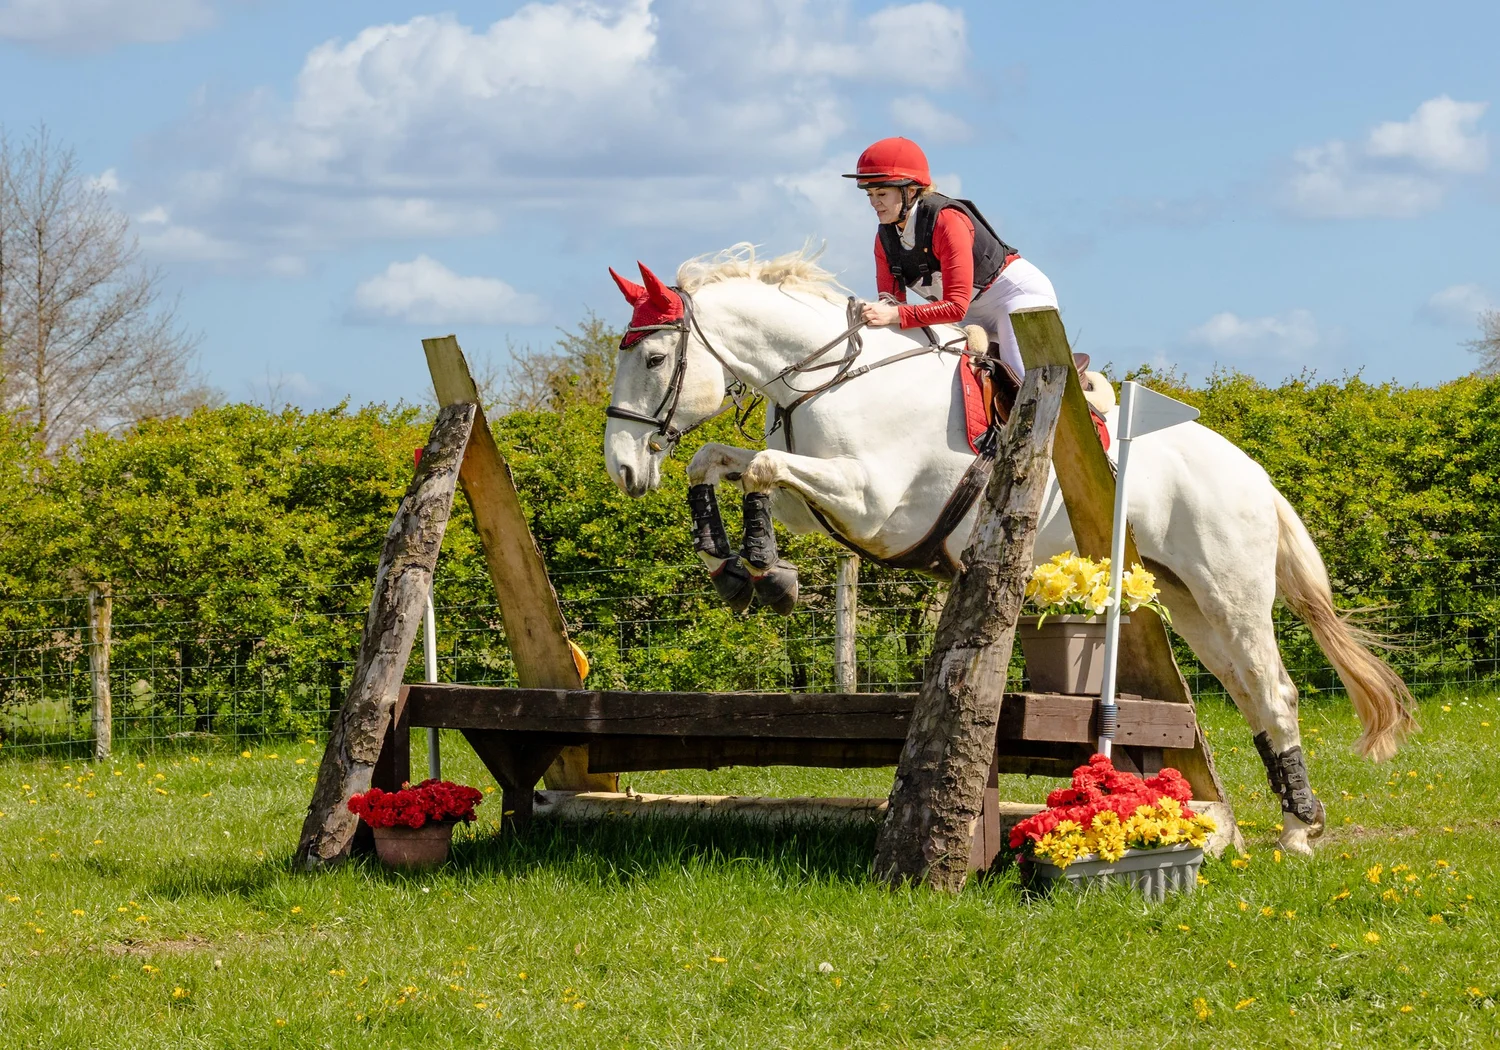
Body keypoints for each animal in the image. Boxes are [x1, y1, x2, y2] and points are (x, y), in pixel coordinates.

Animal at [601, 245, 1416, 855]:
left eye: (652, 359)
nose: (622, 468)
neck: (827, 380)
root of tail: (1253, 471)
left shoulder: (875, 502)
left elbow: (761, 467)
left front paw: (762, 573)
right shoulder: (823, 505)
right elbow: (721, 462)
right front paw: (736, 567)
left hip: (1229, 589)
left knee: (1274, 688)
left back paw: (1301, 830)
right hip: (1185, 599)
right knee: (1247, 689)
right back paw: (1278, 818)